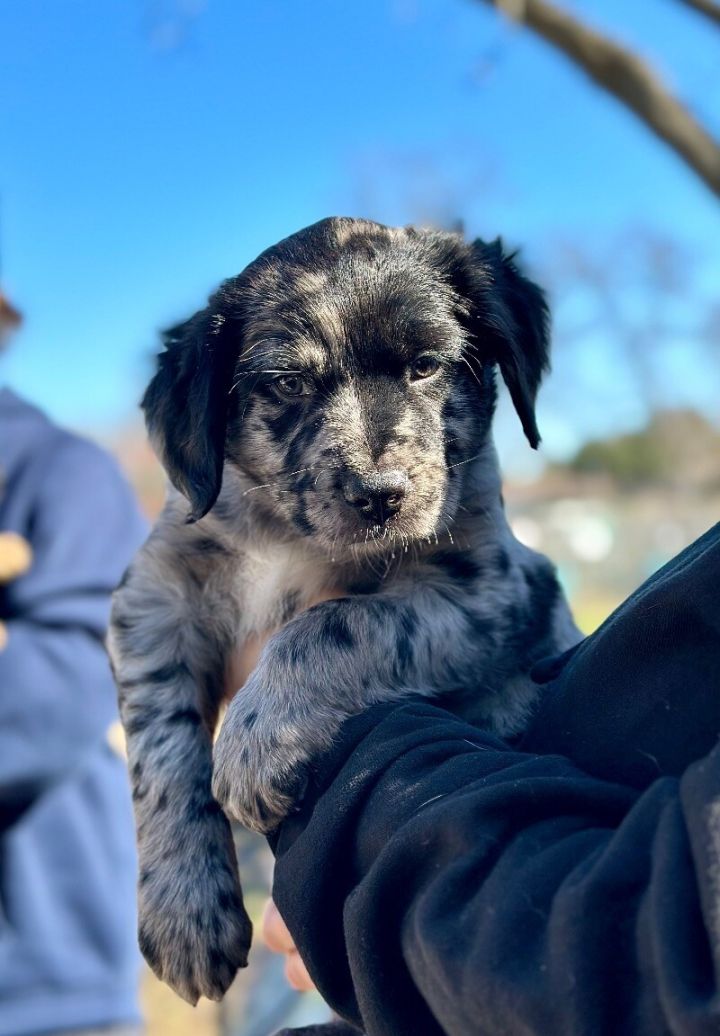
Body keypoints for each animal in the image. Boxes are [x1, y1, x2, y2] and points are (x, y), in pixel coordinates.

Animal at [108, 216, 580, 1002]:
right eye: (289, 383)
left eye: (426, 366)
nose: (379, 494)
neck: (286, 536)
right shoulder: (152, 598)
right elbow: (160, 749)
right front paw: (185, 911)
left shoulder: (491, 588)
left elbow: (333, 622)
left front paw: (255, 741)